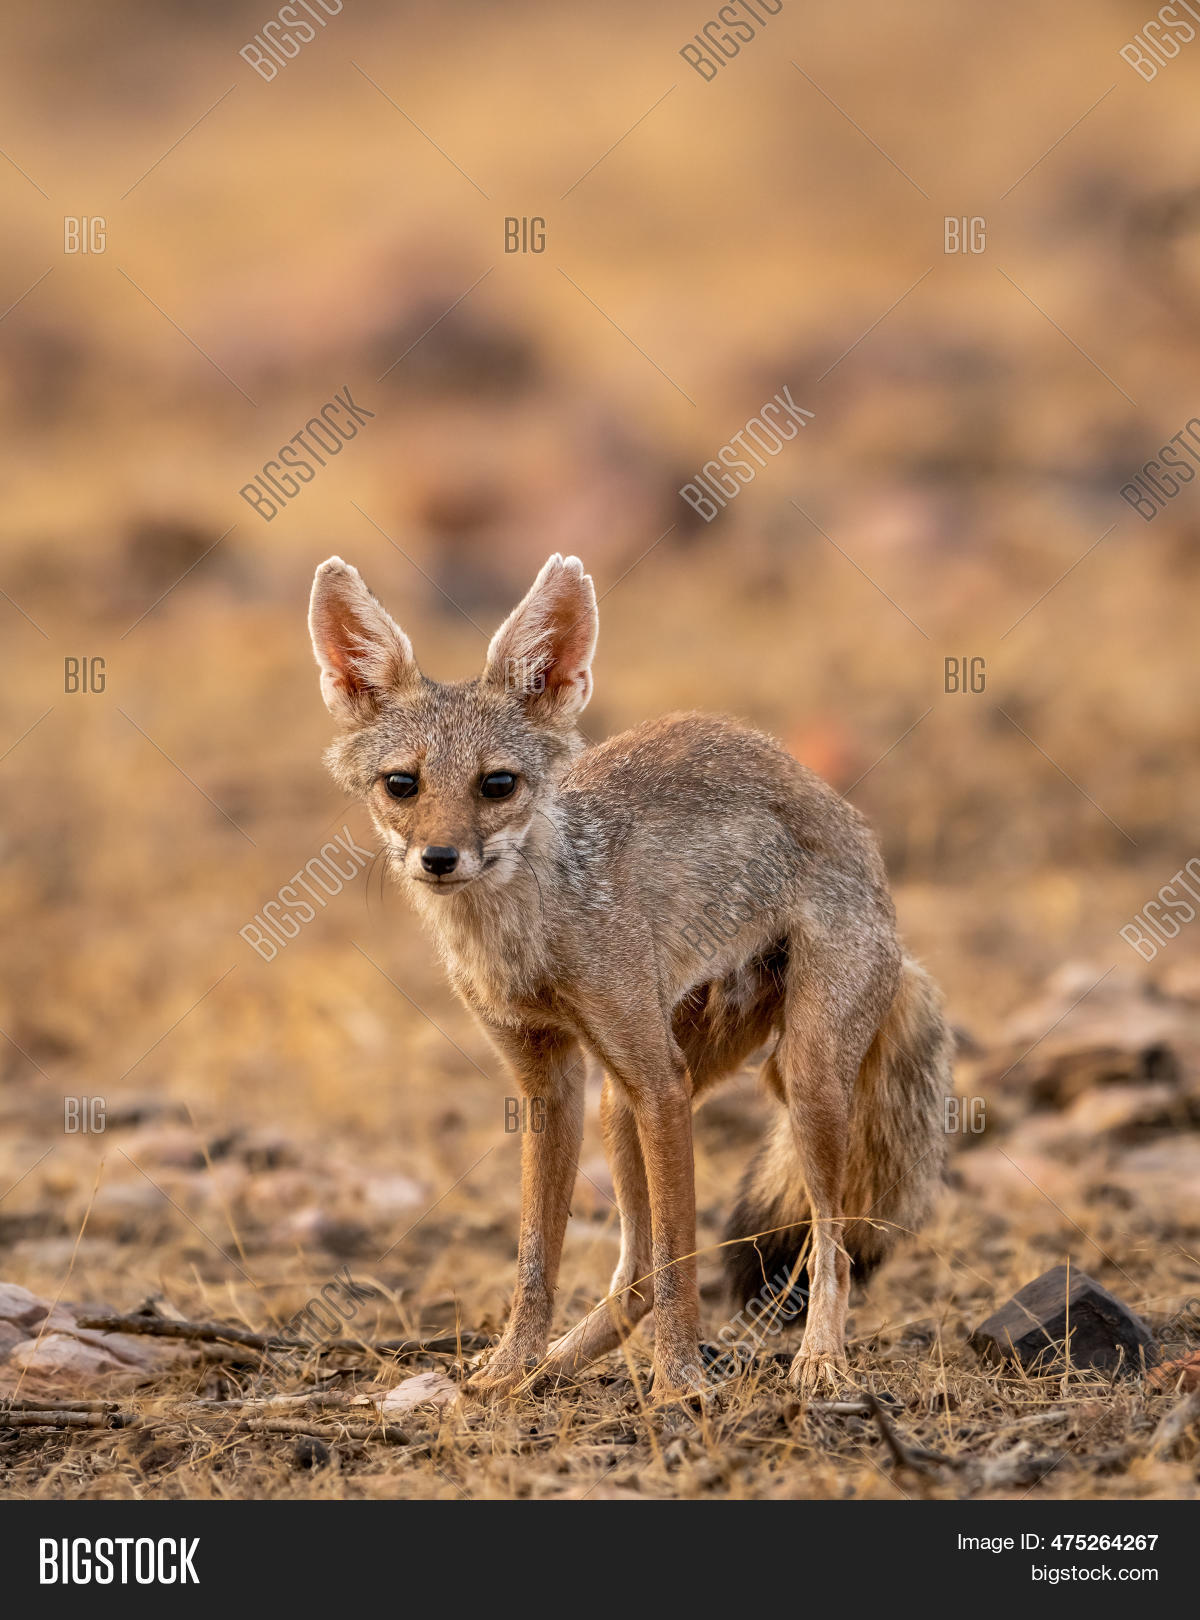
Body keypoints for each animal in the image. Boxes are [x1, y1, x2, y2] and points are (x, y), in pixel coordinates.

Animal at [308, 551, 952, 1397]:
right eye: (402, 785)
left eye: (497, 784)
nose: (440, 859)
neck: (529, 943)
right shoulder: (548, 1083)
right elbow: (537, 1262)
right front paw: (507, 1369)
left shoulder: (661, 1084)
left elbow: (685, 1266)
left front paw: (681, 1382)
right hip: (621, 1097)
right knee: (636, 1274)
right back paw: (550, 1368)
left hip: (798, 1083)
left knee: (828, 1249)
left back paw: (819, 1360)